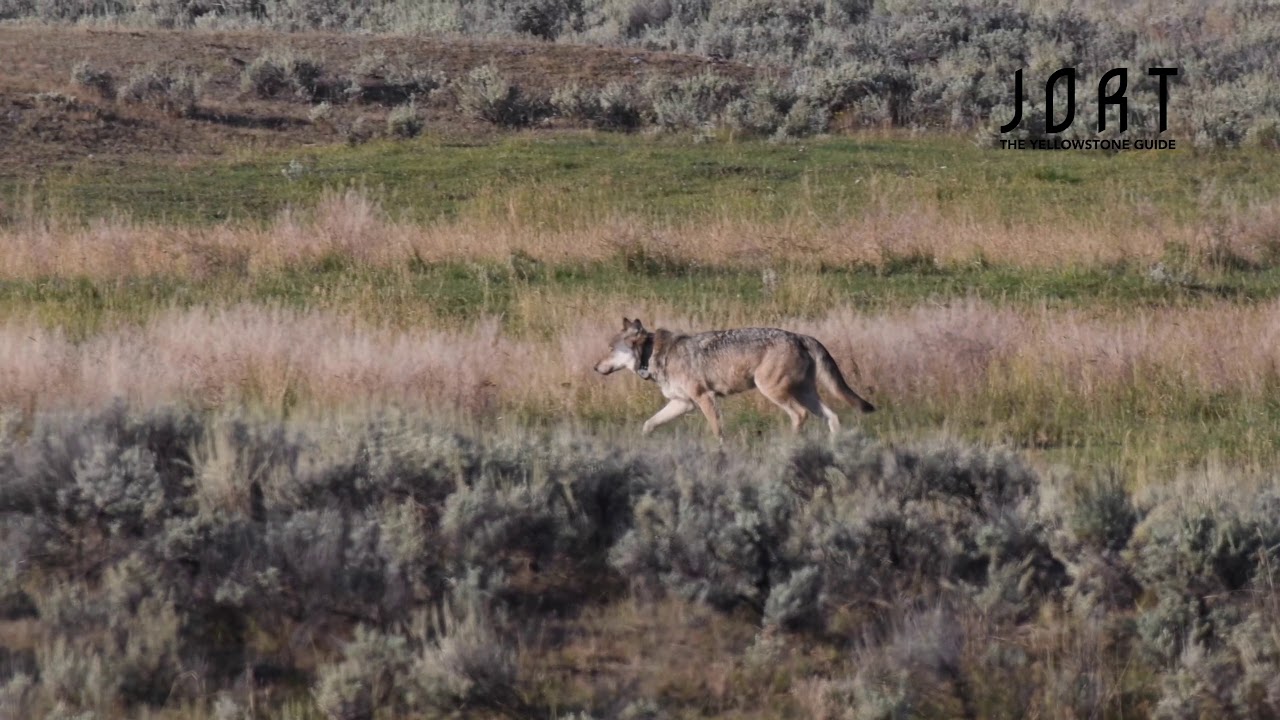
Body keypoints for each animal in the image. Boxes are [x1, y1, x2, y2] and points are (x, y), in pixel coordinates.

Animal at [594, 318, 875, 440]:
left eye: (609, 349)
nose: (595, 367)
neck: (653, 354)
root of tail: (800, 336)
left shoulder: (704, 398)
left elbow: (717, 431)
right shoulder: (682, 403)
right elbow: (649, 424)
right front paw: (643, 442)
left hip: (773, 391)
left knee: (799, 415)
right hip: (806, 395)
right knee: (833, 417)